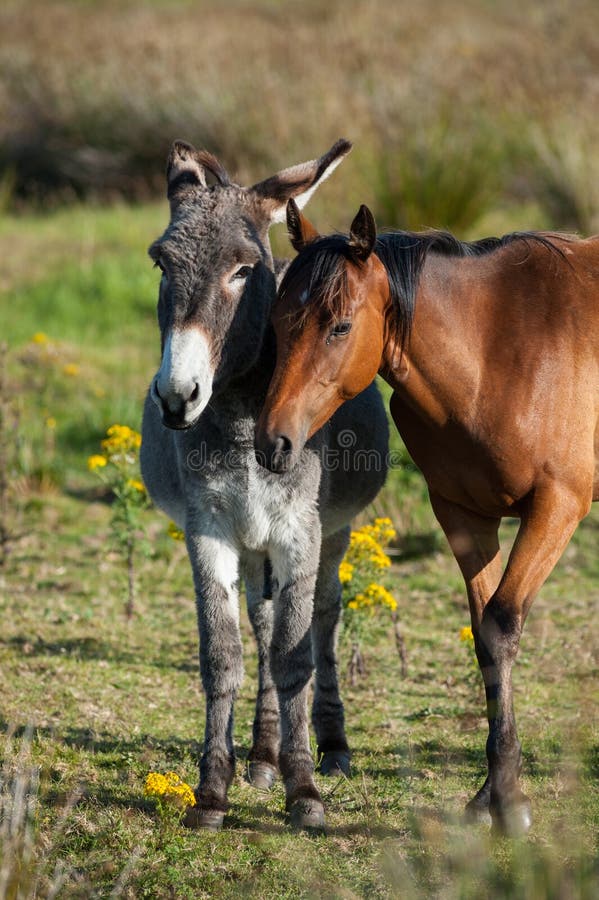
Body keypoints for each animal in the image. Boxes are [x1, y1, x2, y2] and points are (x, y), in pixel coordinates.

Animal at [140, 143, 389, 831]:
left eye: (244, 270)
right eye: (161, 263)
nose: (177, 398)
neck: (244, 415)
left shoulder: (300, 530)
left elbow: (296, 656)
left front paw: (304, 791)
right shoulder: (210, 531)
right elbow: (223, 654)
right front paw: (212, 792)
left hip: (332, 532)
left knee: (322, 616)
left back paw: (329, 747)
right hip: (253, 545)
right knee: (263, 620)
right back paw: (261, 754)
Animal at [255, 198, 599, 835]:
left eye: (340, 326)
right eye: (278, 323)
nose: (273, 443)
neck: (496, 355)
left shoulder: (557, 507)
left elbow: (503, 623)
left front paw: (509, 800)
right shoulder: (463, 516)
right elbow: (487, 638)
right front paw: (492, 794)